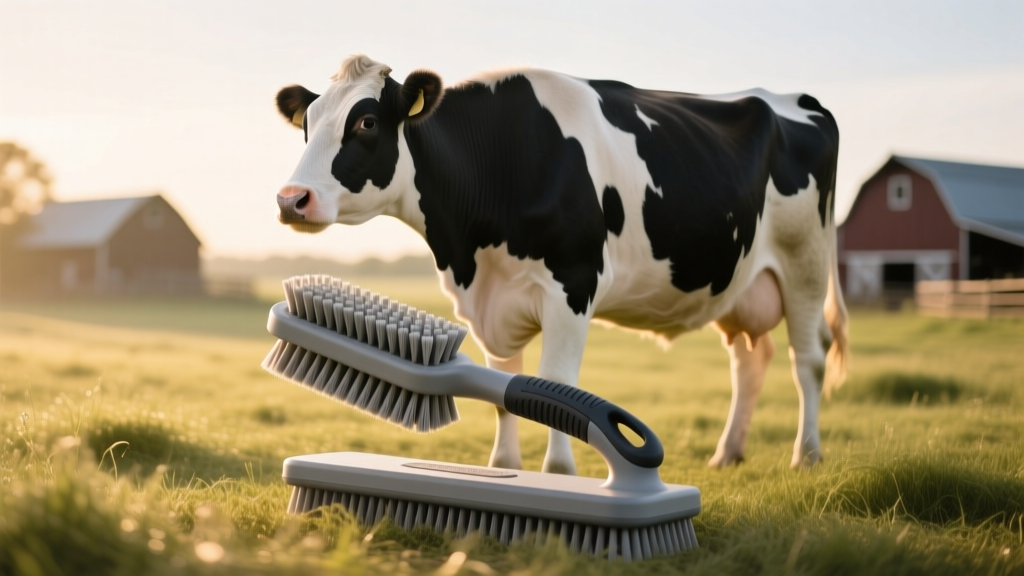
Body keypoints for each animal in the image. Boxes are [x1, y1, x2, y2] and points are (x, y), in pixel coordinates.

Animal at [274, 54, 848, 473]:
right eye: (306, 124)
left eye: (367, 121)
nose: (291, 199)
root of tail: (797, 99)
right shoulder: (487, 300)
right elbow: (502, 389)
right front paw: (503, 467)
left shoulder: (572, 285)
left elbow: (556, 382)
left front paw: (558, 474)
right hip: (738, 280)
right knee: (750, 360)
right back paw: (727, 454)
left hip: (805, 261)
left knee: (807, 359)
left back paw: (807, 455)